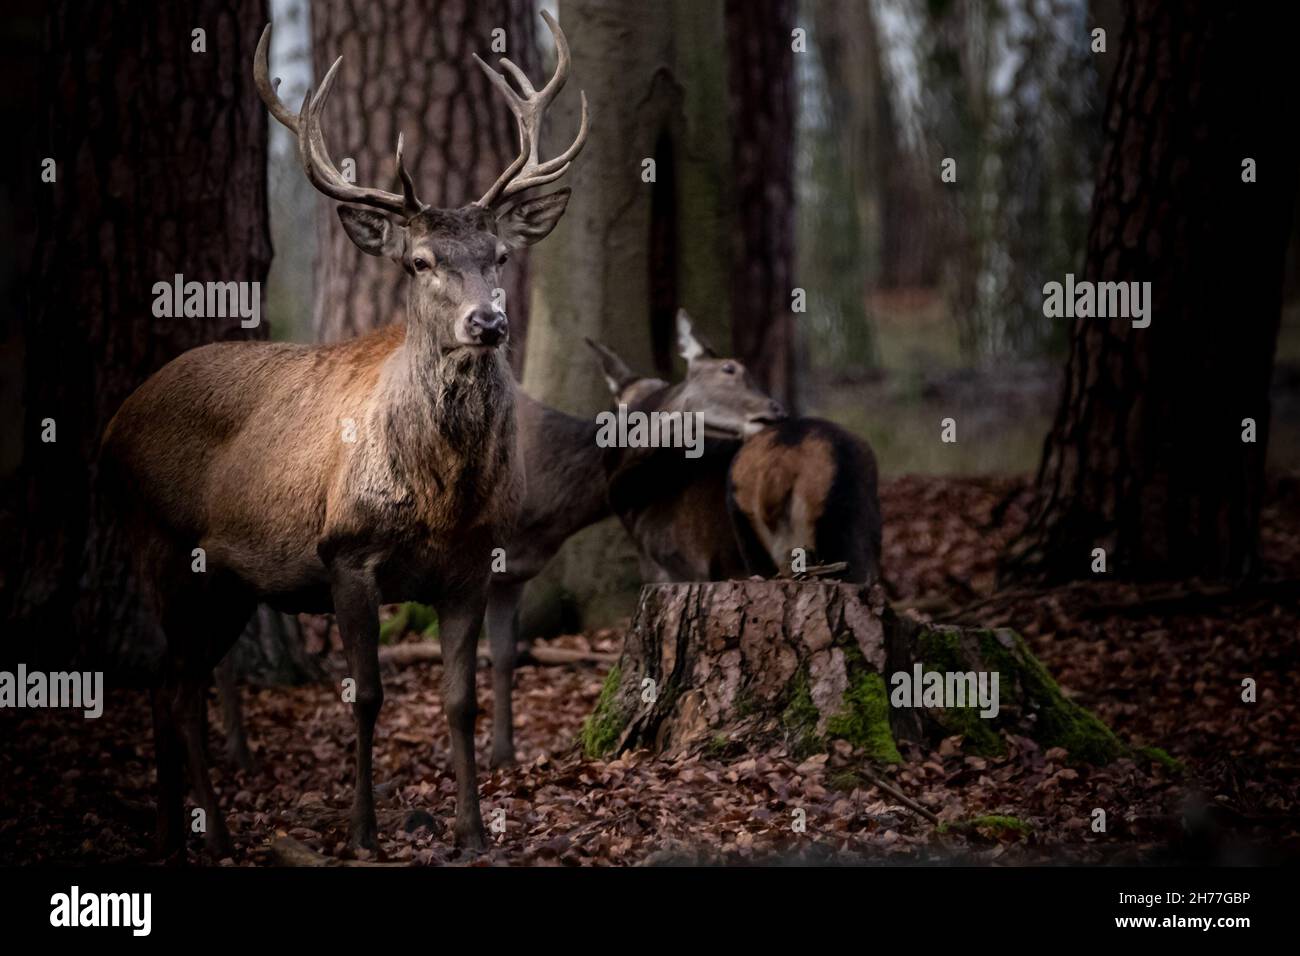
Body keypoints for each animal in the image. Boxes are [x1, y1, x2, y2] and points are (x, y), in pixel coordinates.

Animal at [99, 12, 588, 859]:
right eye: (421, 261)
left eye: (498, 255)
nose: (487, 323)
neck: (440, 495)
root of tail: (113, 421)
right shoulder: (346, 552)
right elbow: (366, 697)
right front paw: (364, 832)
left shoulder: (470, 566)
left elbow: (459, 701)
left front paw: (471, 833)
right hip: (159, 541)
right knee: (170, 682)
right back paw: (187, 832)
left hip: (228, 579)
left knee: (178, 683)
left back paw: (197, 834)